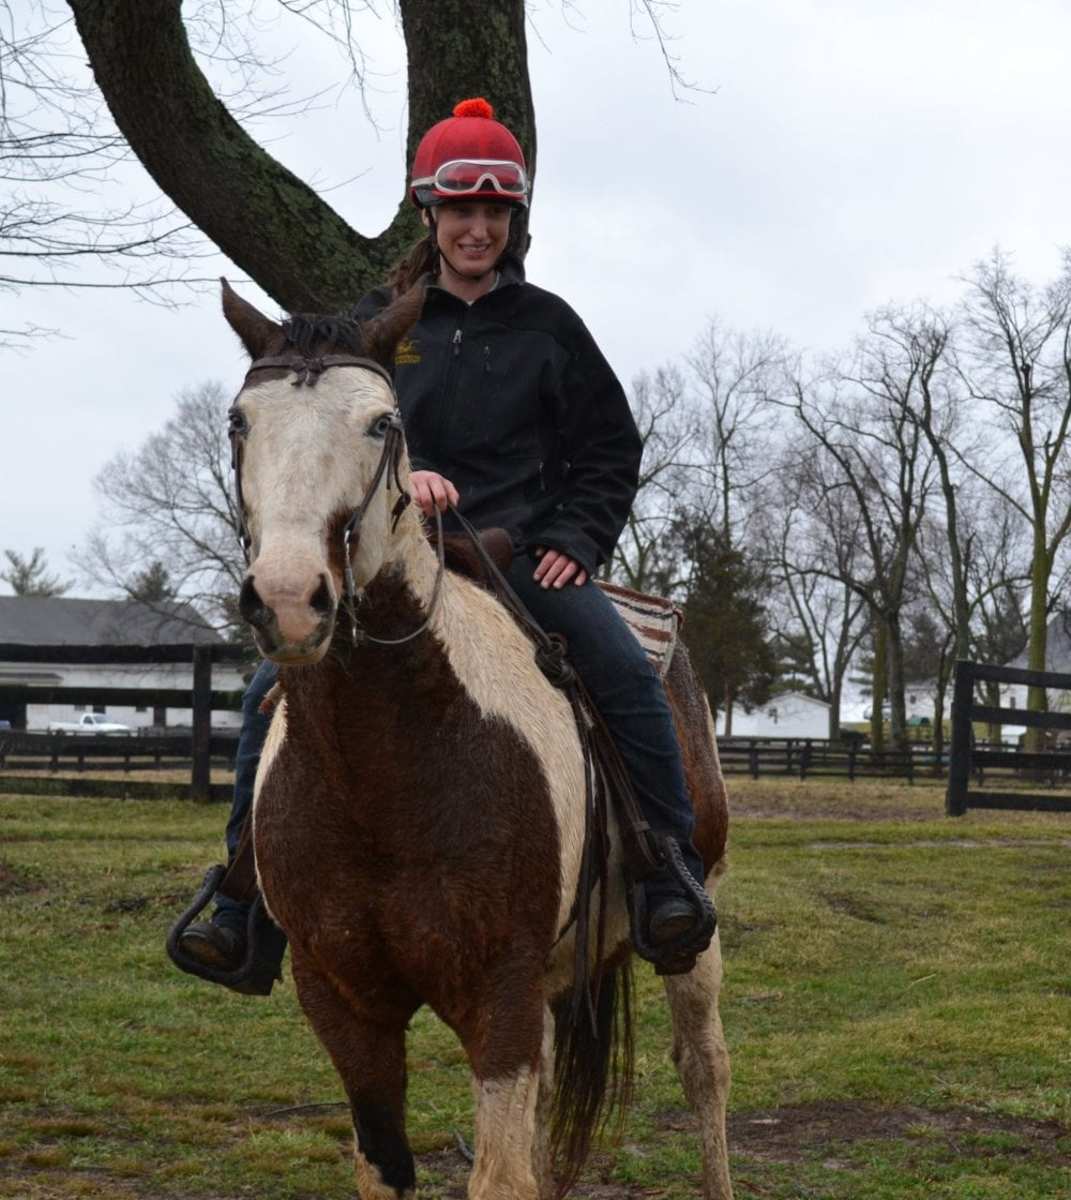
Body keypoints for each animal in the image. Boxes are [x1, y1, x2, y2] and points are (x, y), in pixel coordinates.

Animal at [220, 279, 733, 1200]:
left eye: (382, 423)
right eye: (240, 421)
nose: (287, 600)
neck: (382, 769)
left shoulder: (499, 990)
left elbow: (500, 1176)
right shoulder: (341, 996)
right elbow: (387, 1165)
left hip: (692, 924)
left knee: (702, 1066)